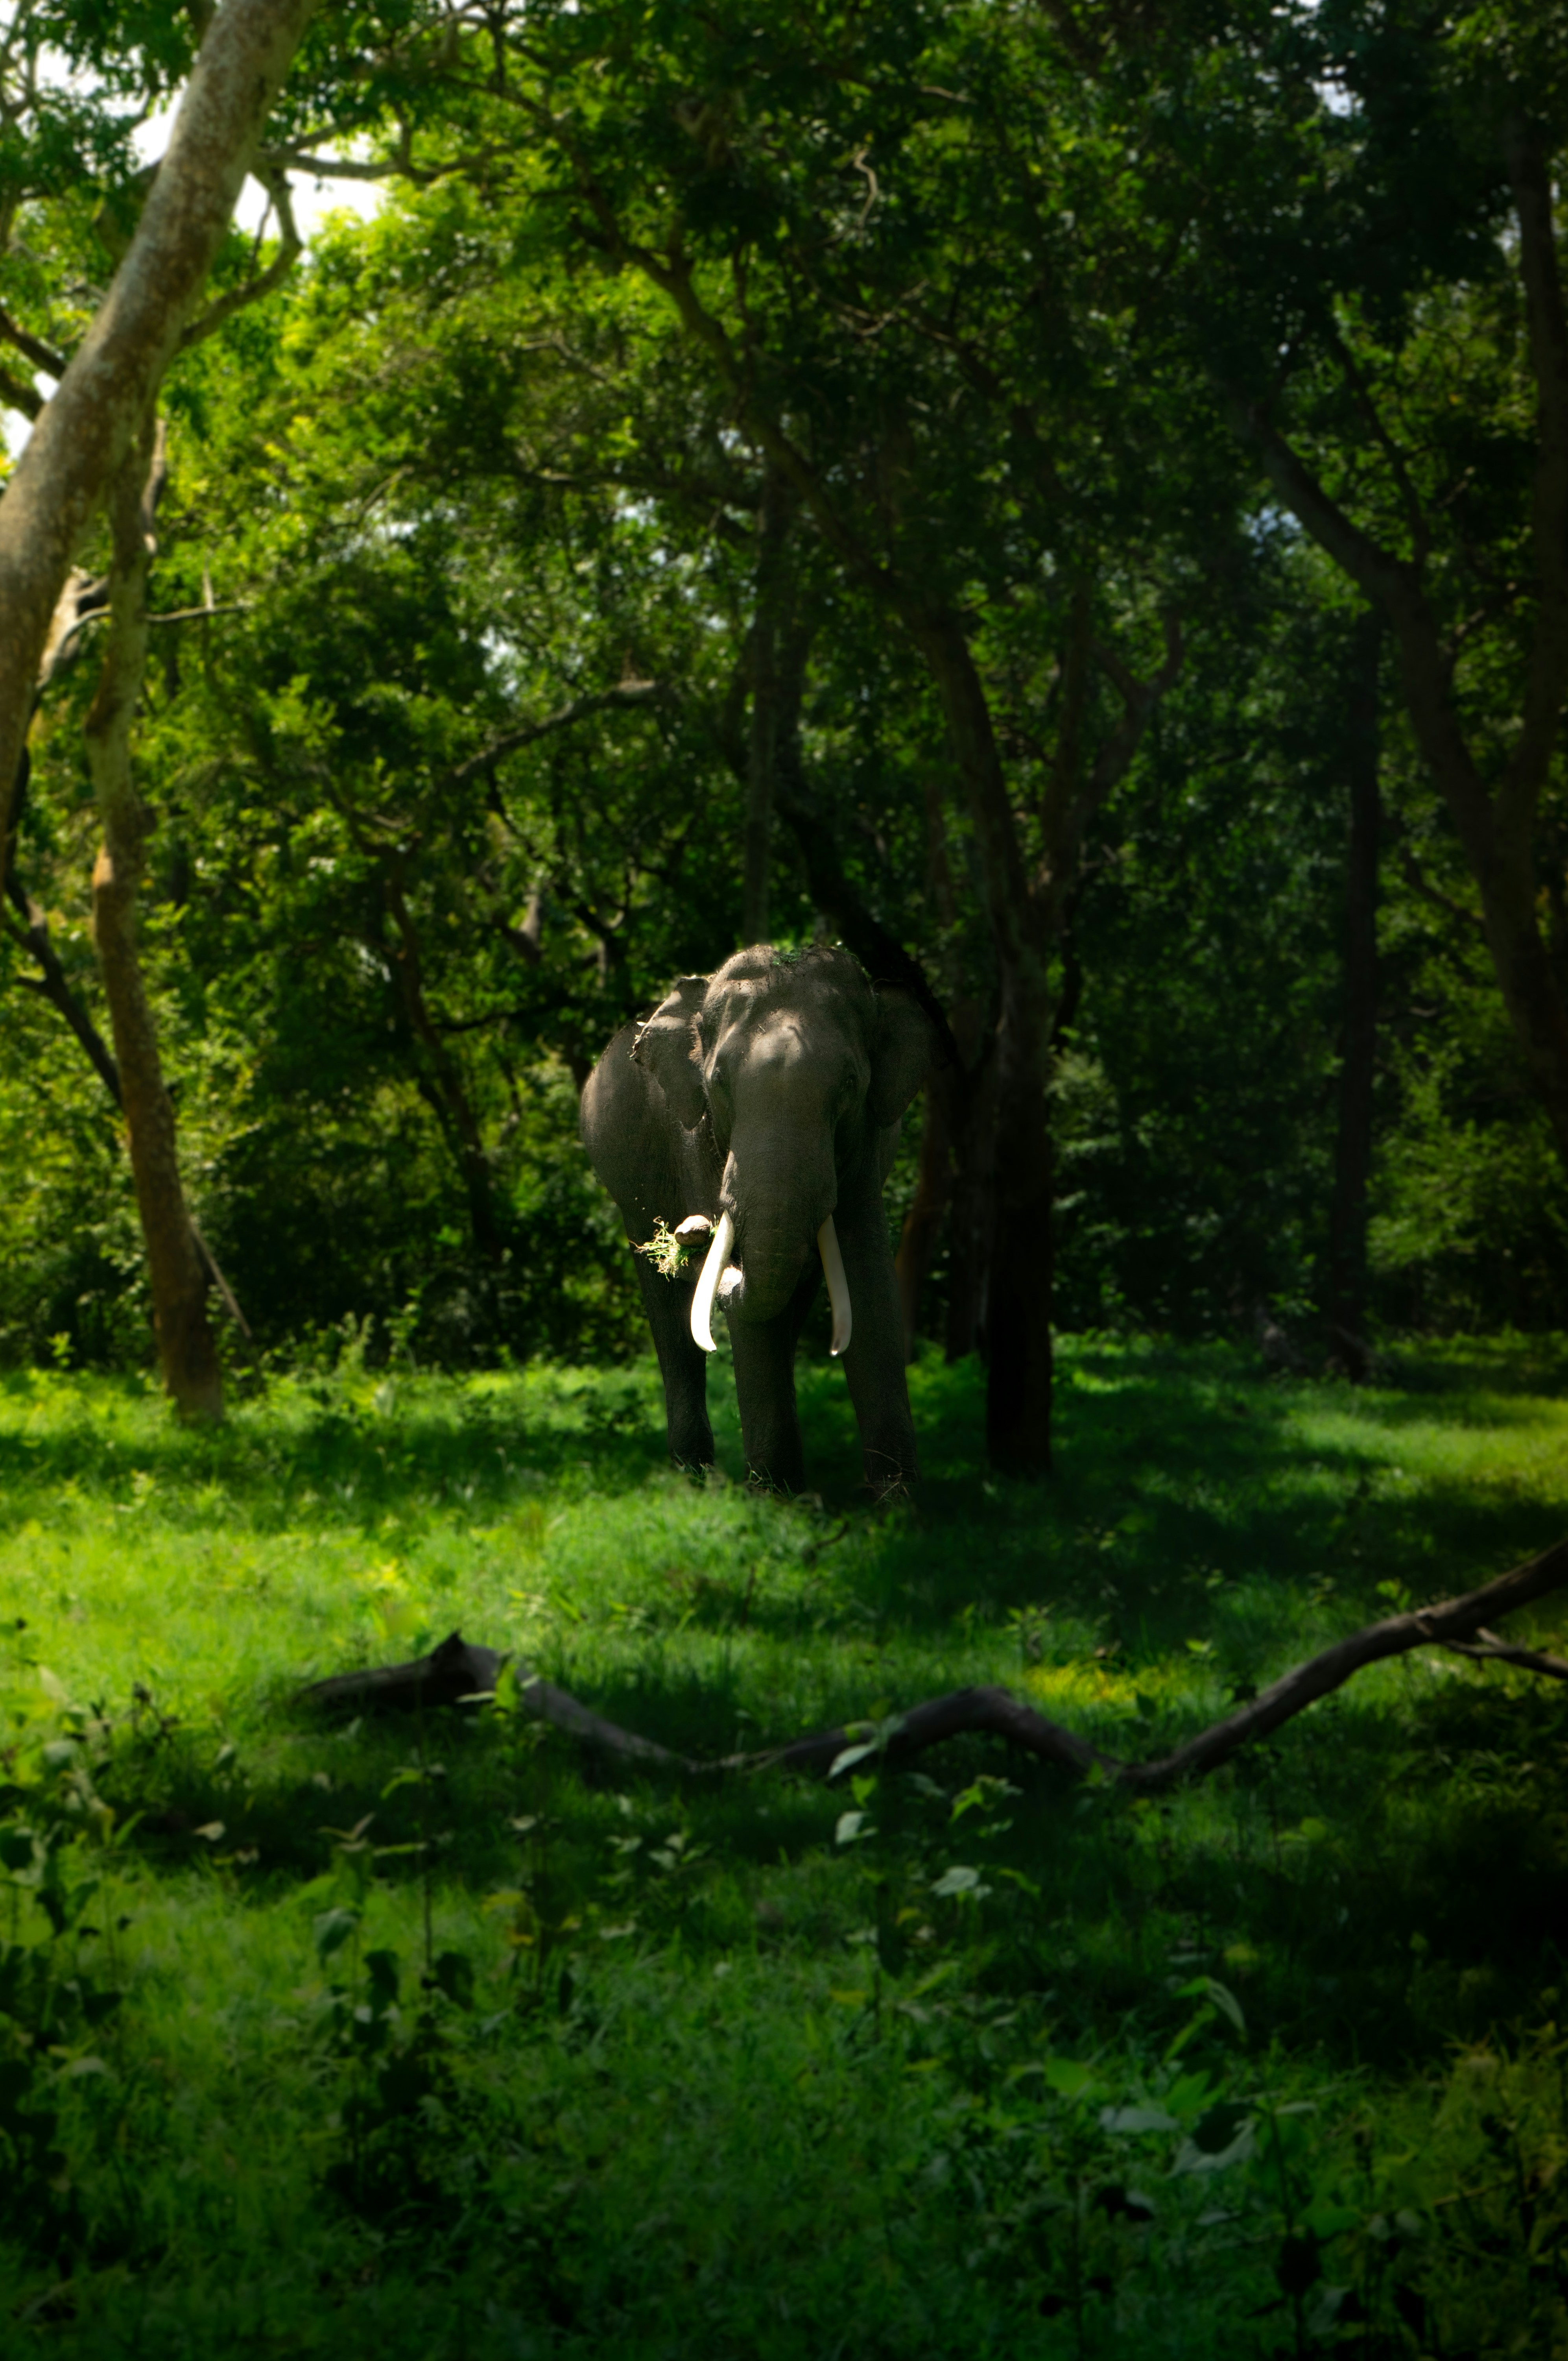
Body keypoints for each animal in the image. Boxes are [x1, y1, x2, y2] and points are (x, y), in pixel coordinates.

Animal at [580, 944, 933, 1496]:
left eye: (850, 1084)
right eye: (718, 1083)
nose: (692, 1233)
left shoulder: (866, 1140)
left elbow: (868, 1283)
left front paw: (898, 1505)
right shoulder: (696, 1138)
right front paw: (777, 1500)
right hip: (633, 1200)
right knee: (668, 1316)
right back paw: (693, 1476)